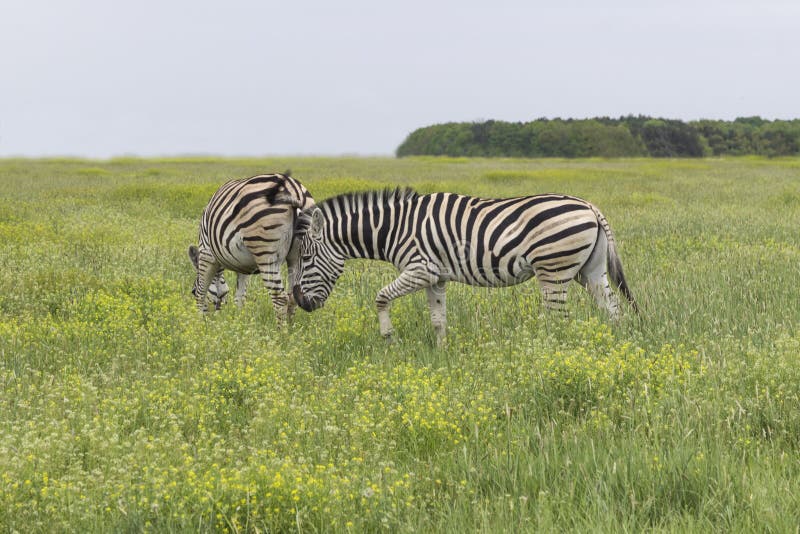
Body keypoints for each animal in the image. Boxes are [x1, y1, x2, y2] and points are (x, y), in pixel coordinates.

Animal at [188, 171, 315, 320]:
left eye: (192, 291)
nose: (216, 317)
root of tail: (294, 189)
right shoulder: (243, 266)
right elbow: (239, 297)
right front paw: (239, 322)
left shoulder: (206, 251)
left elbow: (201, 291)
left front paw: (199, 321)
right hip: (298, 256)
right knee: (292, 296)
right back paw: (291, 326)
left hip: (265, 252)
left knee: (280, 297)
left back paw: (280, 327)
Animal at [291, 188, 637, 344]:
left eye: (305, 259)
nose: (302, 304)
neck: (393, 228)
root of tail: (590, 206)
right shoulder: (435, 277)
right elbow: (437, 319)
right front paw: (442, 355)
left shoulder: (419, 269)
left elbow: (380, 297)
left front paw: (388, 337)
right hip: (590, 271)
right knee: (613, 309)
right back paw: (614, 345)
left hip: (554, 270)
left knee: (559, 319)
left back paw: (556, 354)